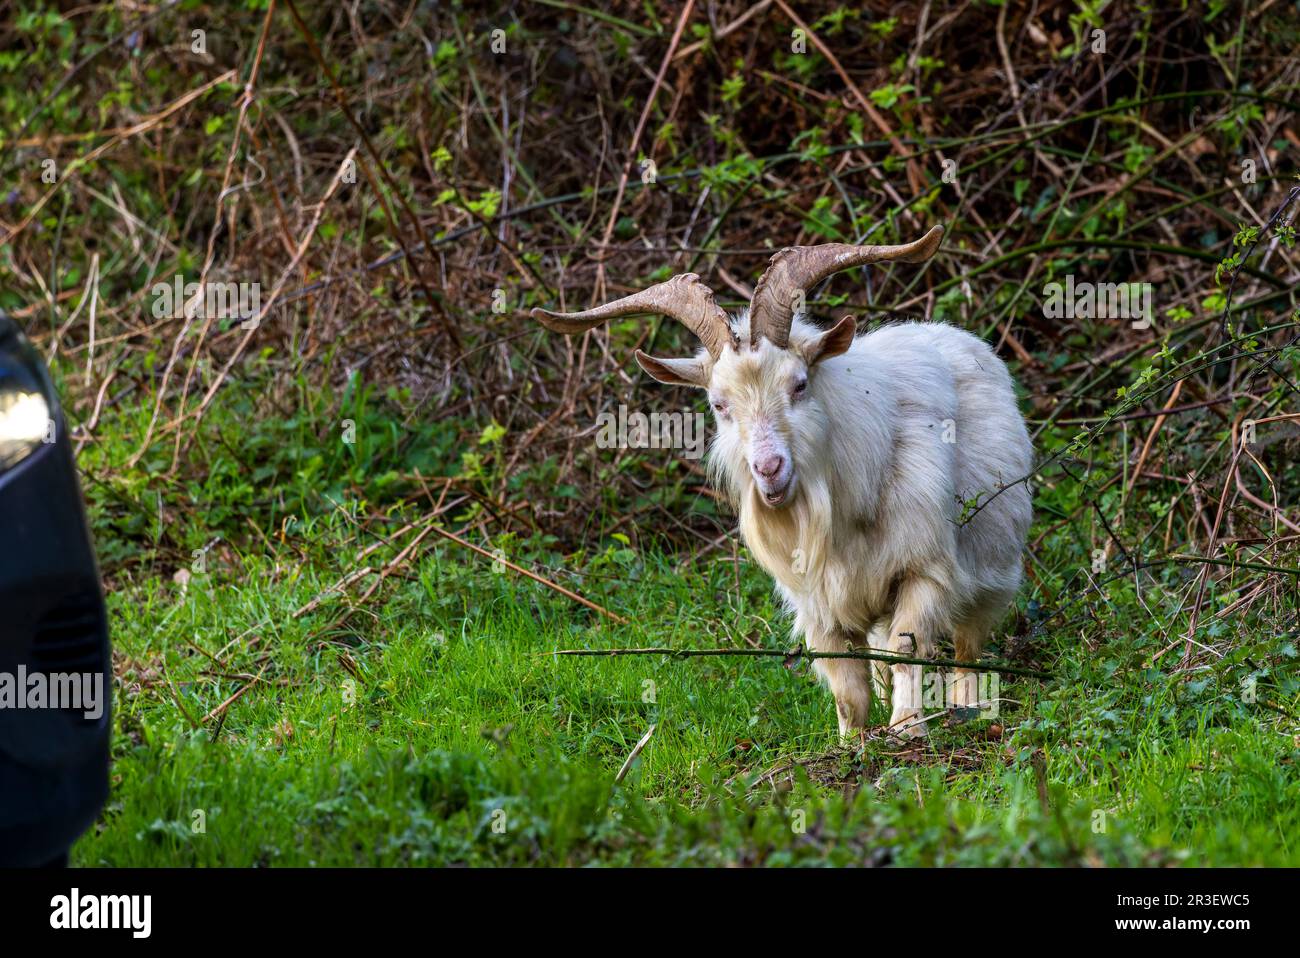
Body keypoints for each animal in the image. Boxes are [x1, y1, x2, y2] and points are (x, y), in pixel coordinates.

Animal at [533, 226, 1033, 738]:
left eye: (799, 385)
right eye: (718, 404)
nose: (769, 468)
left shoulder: (925, 572)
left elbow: (906, 649)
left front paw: (908, 729)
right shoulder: (818, 604)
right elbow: (847, 683)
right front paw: (853, 743)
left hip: (991, 575)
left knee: (967, 648)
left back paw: (971, 711)